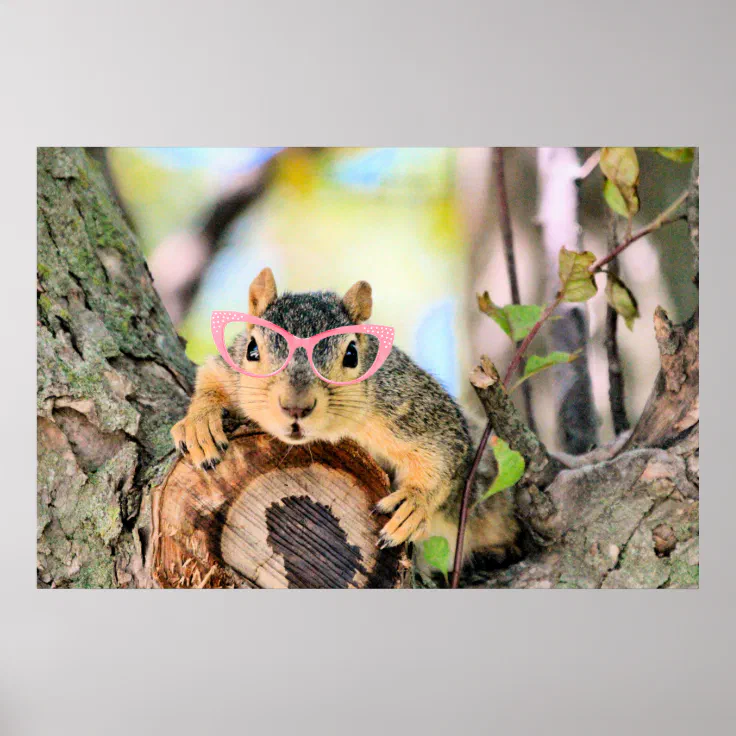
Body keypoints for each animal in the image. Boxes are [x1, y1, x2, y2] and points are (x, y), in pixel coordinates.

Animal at [171, 267, 519, 573]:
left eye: (351, 354)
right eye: (252, 349)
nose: (296, 407)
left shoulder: (410, 407)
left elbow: (442, 451)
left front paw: (413, 503)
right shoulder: (231, 370)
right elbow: (211, 376)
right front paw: (200, 423)